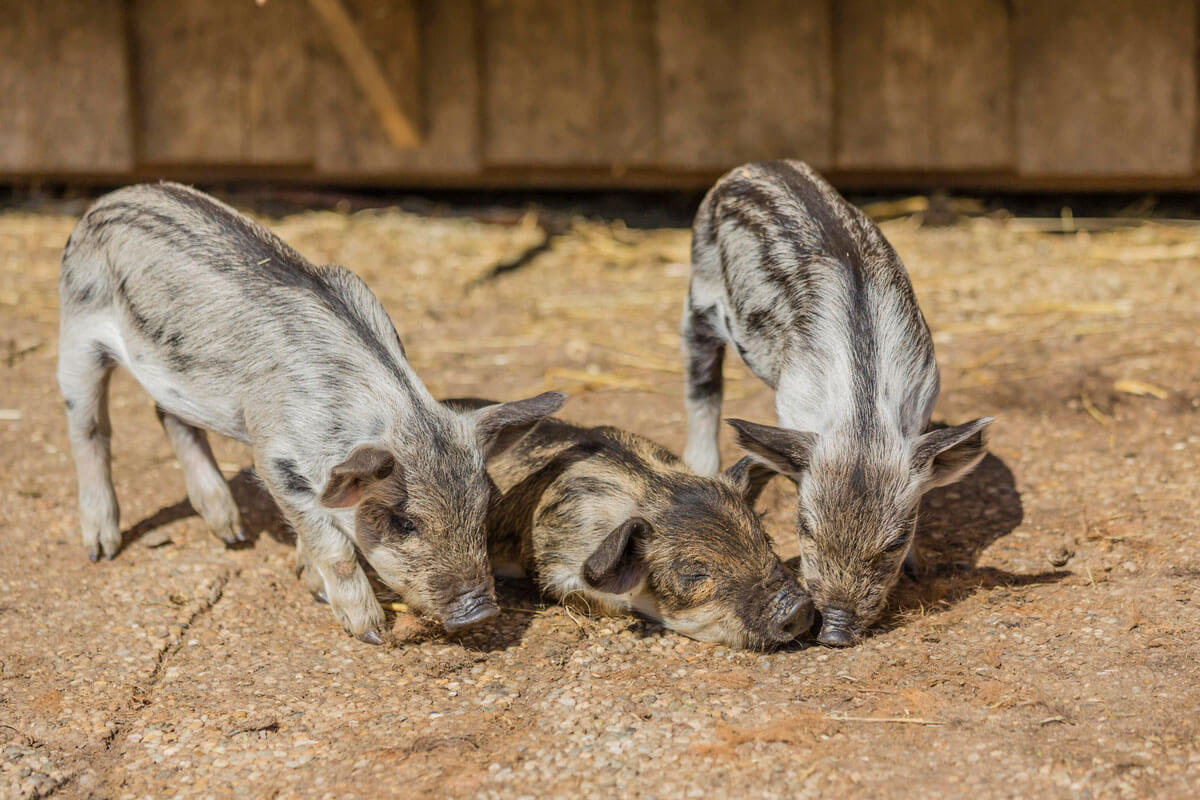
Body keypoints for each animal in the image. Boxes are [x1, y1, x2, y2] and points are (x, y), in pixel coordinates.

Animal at [56, 182, 564, 642]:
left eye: (484, 507)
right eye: (404, 522)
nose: (480, 611)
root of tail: (108, 199)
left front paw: (307, 579)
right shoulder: (272, 455)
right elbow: (333, 543)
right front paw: (369, 632)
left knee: (169, 416)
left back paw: (232, 535)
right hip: (77, 334)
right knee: (88, 428)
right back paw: (102, 550)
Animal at [681, 160, 993, 646]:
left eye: (895, 542)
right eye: (804, 526)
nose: (834, 633)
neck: (862, 414)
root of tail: (757, 166)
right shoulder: (791, 403)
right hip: (699, 291)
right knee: (701, 380)